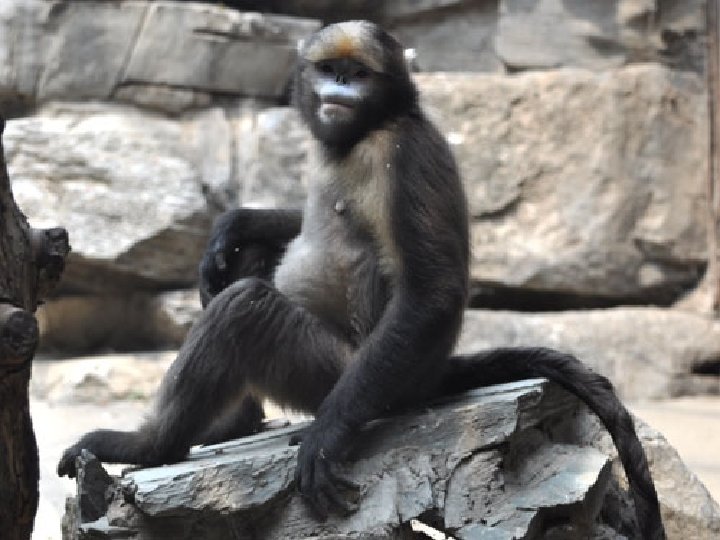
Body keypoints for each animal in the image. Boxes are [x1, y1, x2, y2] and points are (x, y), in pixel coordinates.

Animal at [58, 21, 665, 539]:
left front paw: (325, 439)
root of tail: (430, 376)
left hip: (337, 370)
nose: (340, 85)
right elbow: (269, 236)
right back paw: (232, 420)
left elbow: (431, 292)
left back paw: (151, 445)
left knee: (245, 306)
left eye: (358, 73)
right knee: (245, 270)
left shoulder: (403, 154)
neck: (365, 131)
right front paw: (235, 224)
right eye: (329, 69)